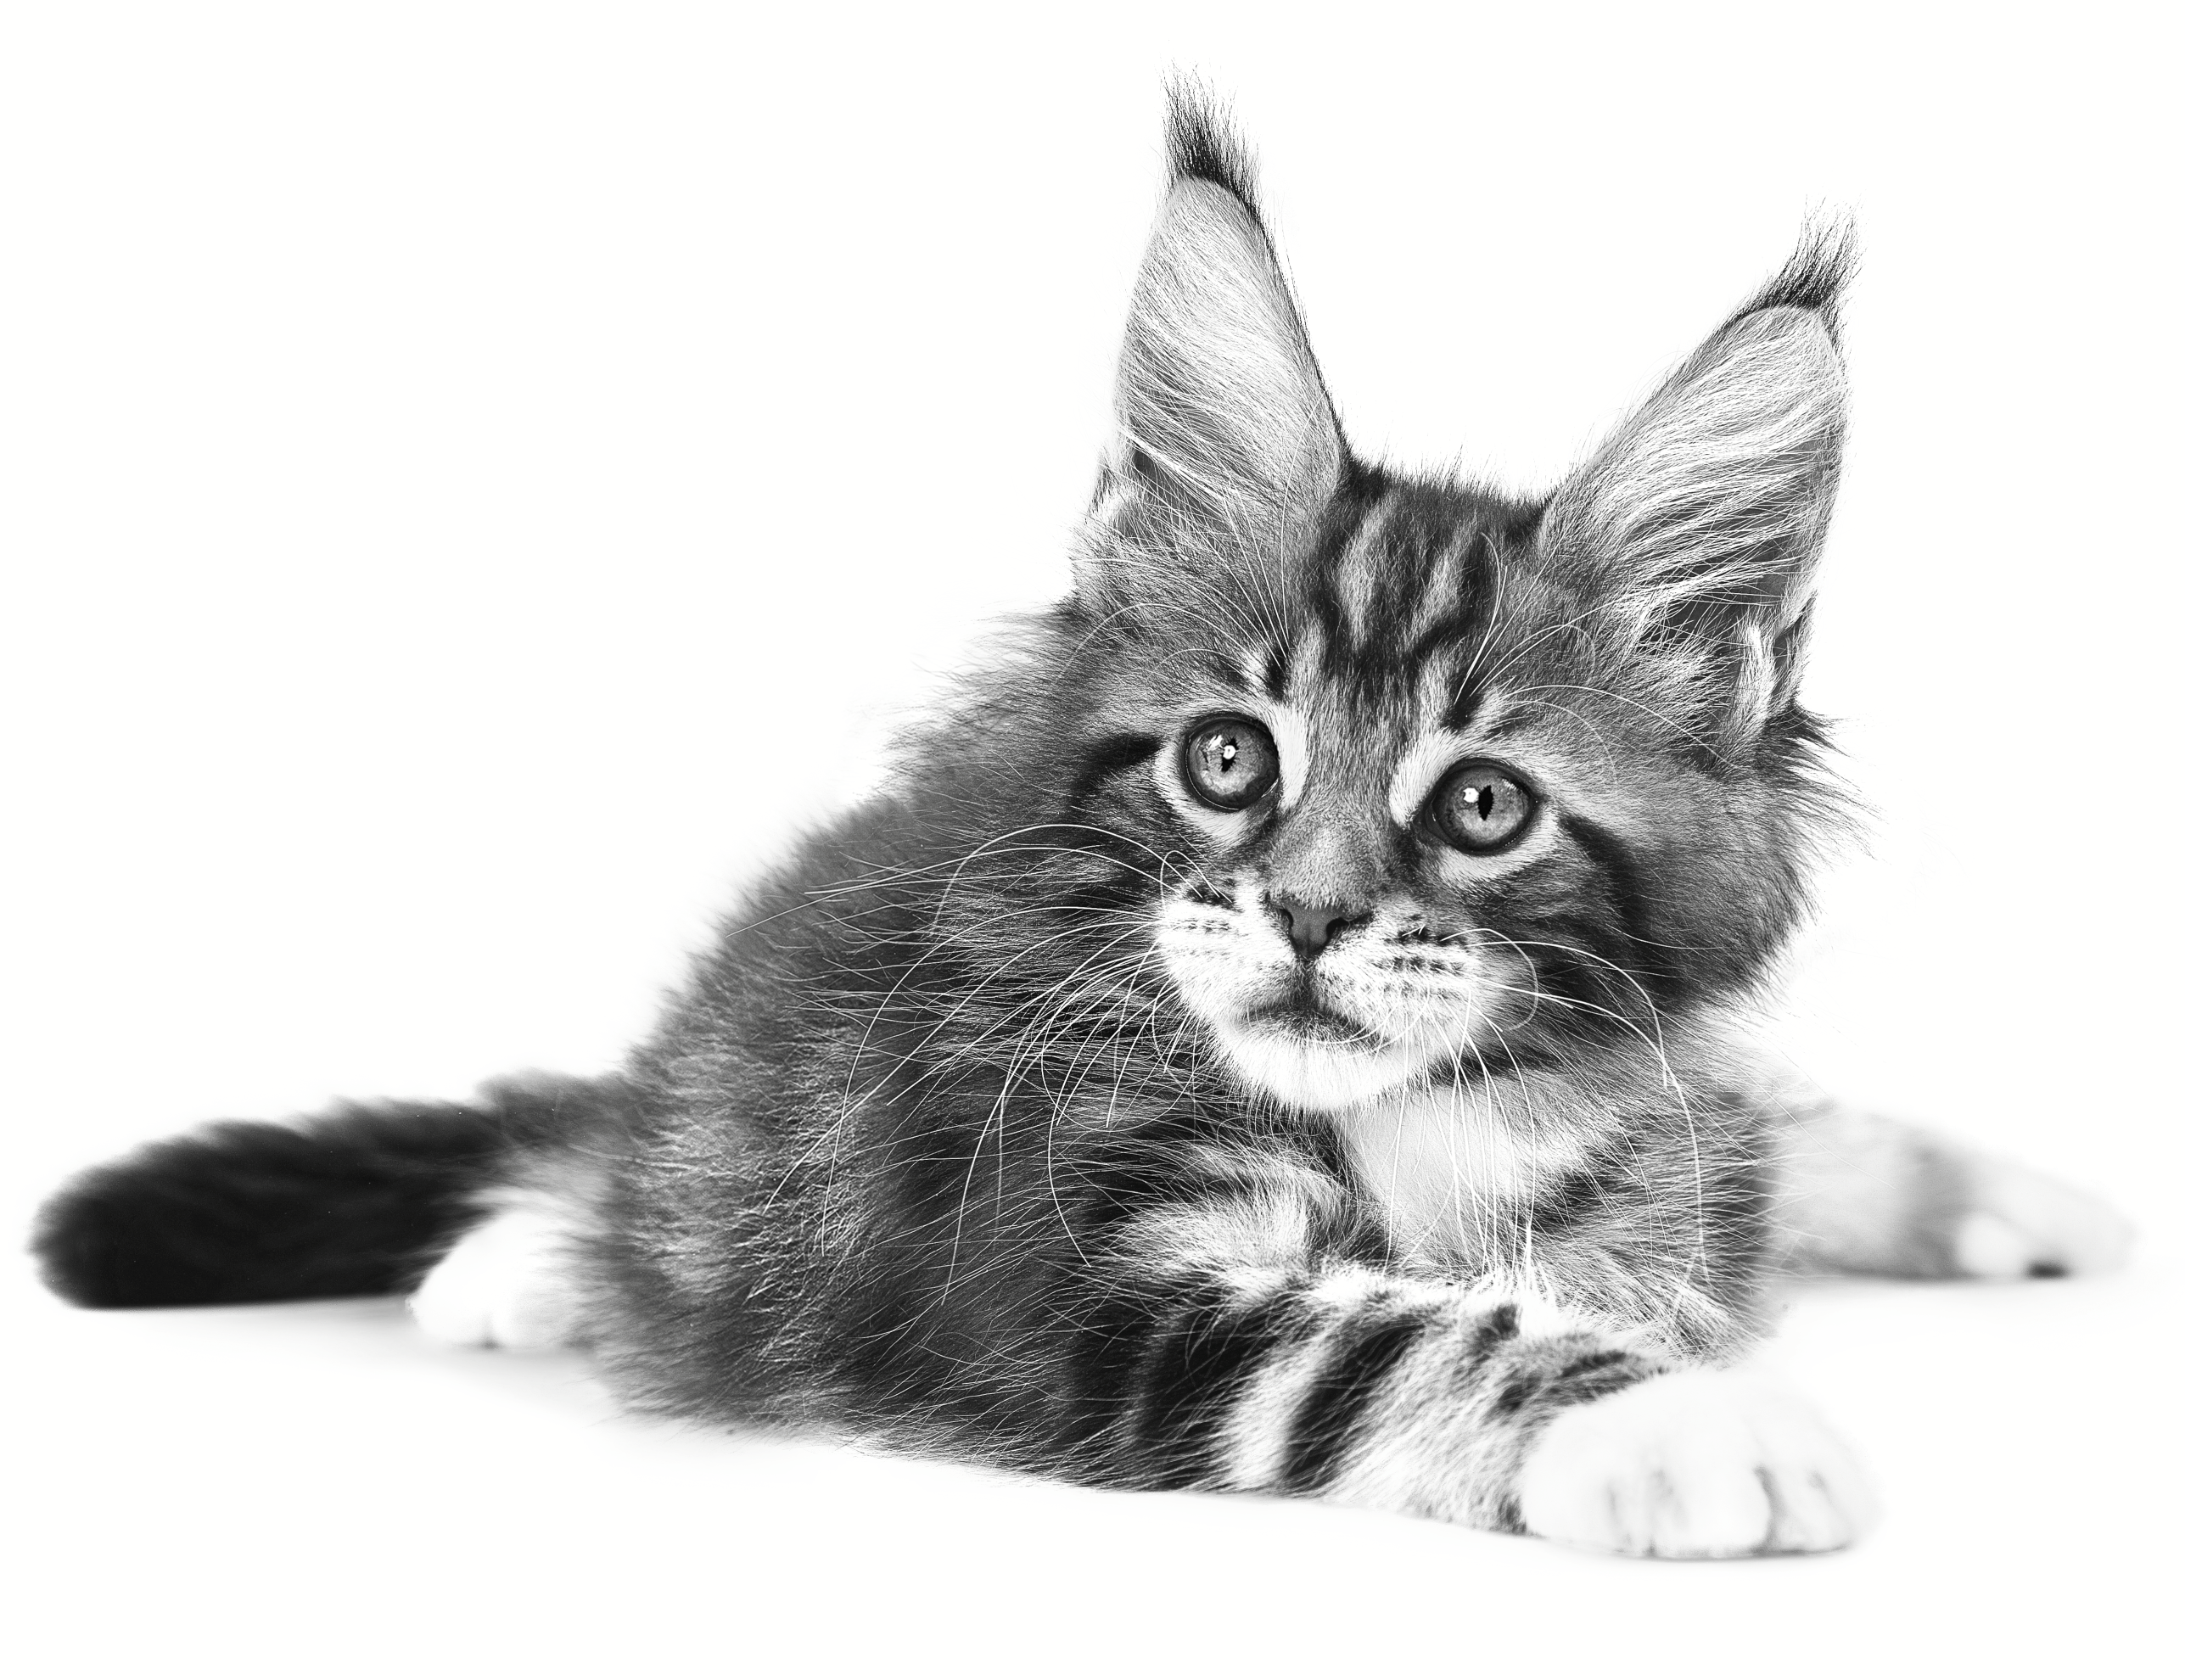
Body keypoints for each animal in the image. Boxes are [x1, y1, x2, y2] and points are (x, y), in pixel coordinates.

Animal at [34, 95, 2123, 1555]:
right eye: (1228, 765)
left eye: (1481, 805)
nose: (1303, 918)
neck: (1413, 1133)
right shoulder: (1059, 1293)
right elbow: (1395, 1332)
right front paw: (1686, 1424)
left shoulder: (1646, 1137)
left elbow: (1664, 1201)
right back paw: (529, 1264)